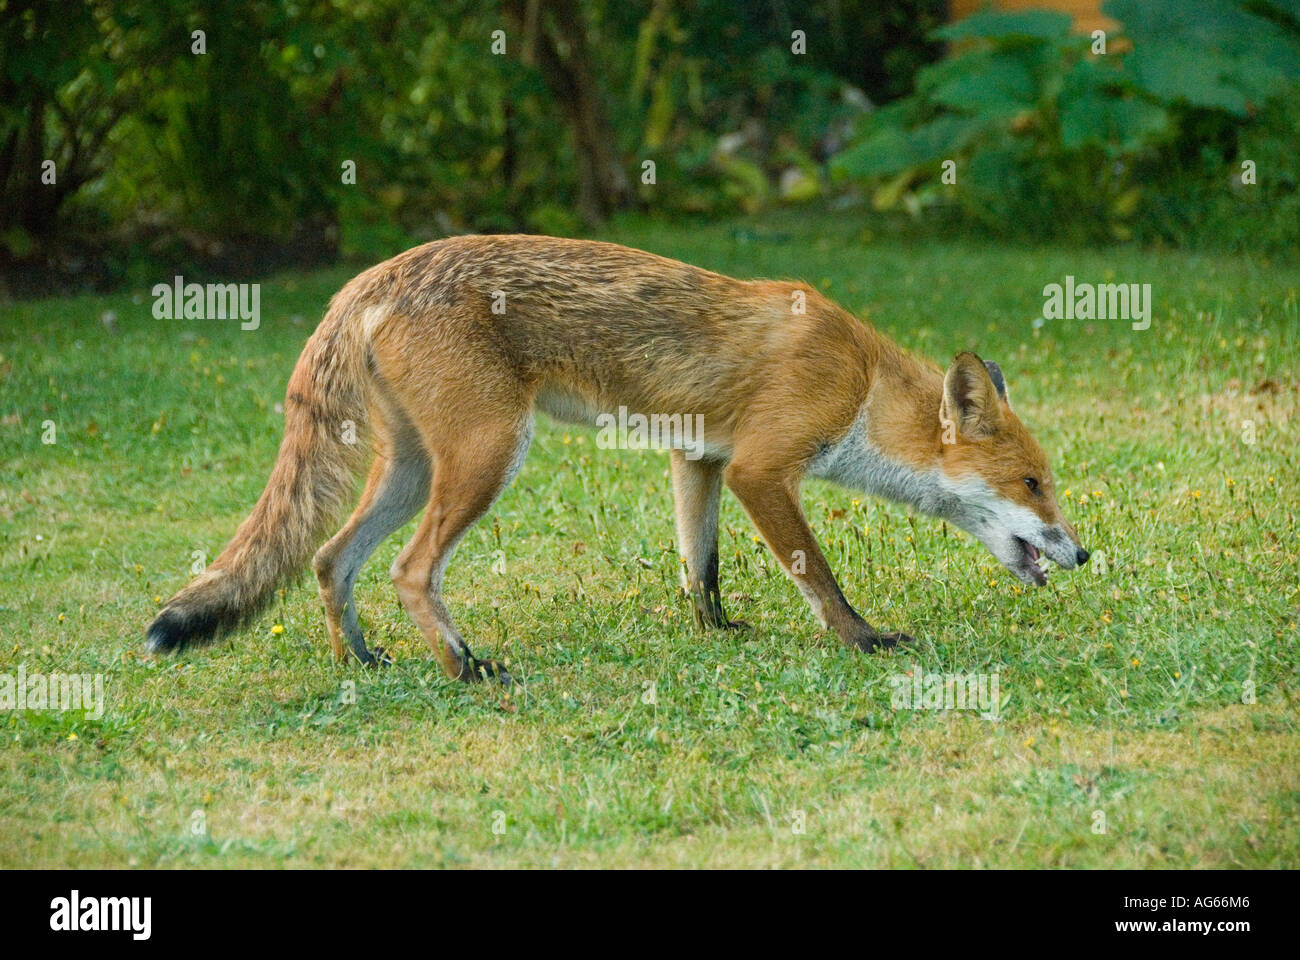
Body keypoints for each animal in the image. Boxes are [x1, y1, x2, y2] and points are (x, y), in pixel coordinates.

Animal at [145, 234, 1088, 681]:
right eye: (1033, 484)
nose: (1083, 553)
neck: (858, 381)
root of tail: (370, 277)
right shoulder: (760, 468)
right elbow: (817, 572)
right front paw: (862, 640)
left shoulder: (700, 461)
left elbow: (699, 567)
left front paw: (715, 632)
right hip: (488, 455)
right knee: (411, 570)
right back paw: (466, 669)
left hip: (412, 468)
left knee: (330, 559)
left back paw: (363, 664)